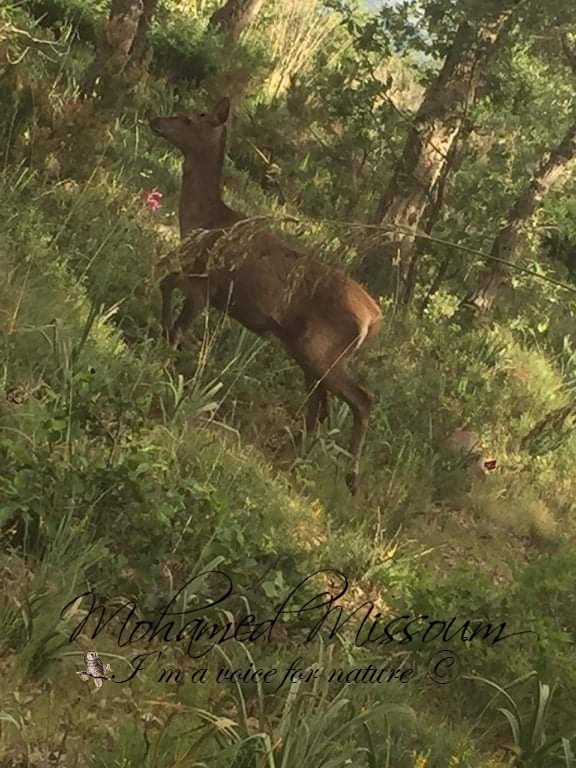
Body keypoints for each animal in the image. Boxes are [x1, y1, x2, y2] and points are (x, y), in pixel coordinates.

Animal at [149, 97, 382, 495]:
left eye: (190, 118)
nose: (155, 120)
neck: (203, 221)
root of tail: (373, 318)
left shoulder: (206, 285)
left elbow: (179, 315)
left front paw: (168, 357)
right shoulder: (203, 285)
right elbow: (166, 283)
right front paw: (164, 340)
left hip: (320, 349)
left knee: (360, 401)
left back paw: (350, 477)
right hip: (310, 353)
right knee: (319, 407)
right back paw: (296, 454)